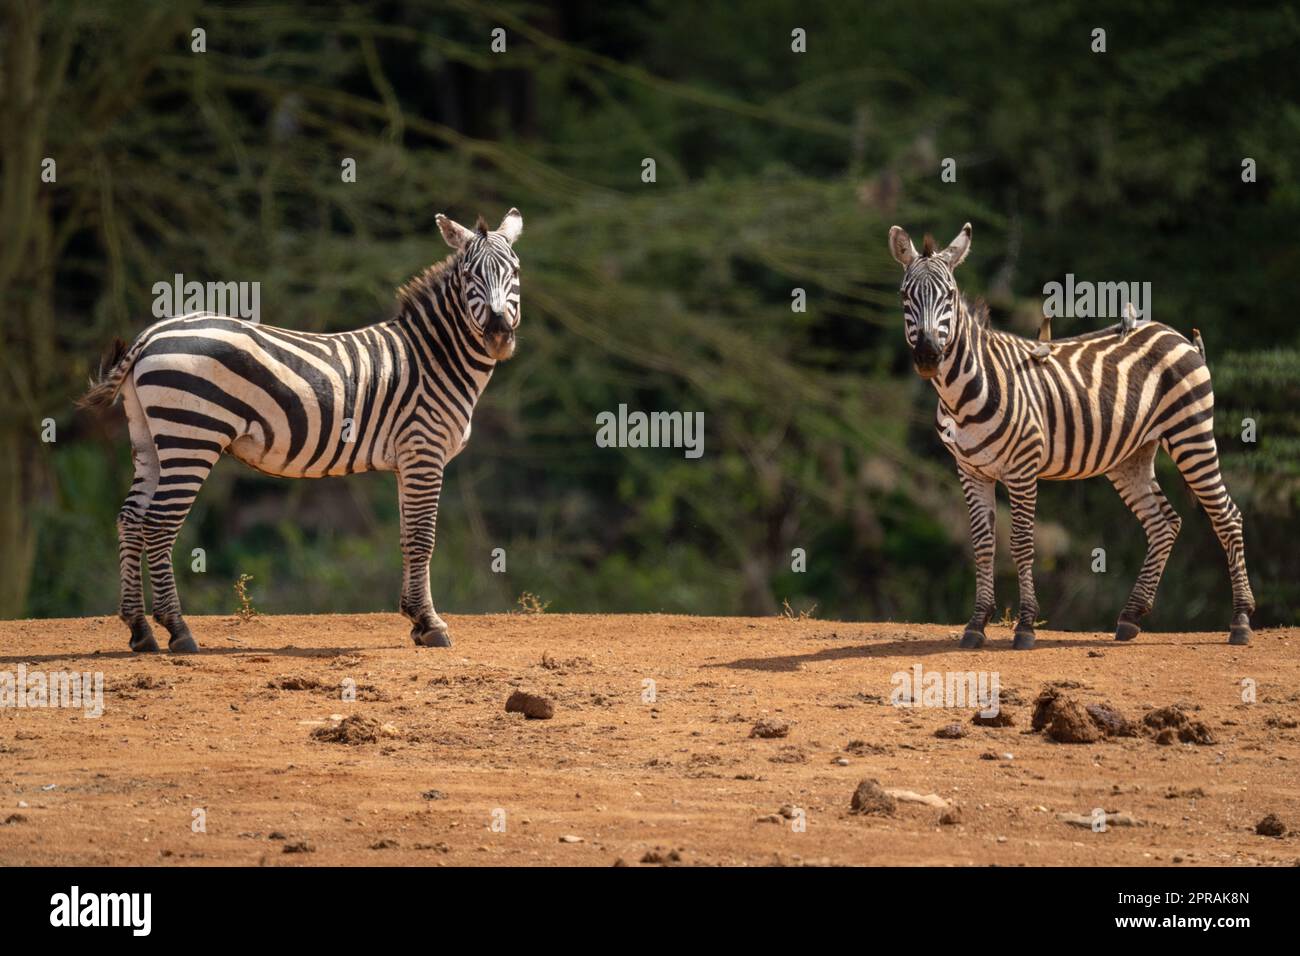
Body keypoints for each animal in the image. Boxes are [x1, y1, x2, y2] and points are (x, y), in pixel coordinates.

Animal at [77, 208, 524, 653]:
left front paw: (415, 618)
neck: (433, 357)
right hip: (191, 438)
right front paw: (430, 625)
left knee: (130, 519)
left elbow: (405, 536)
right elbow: (421, 537)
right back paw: (178, 630)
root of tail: (150, 336)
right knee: (158, 524)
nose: (499, 334)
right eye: (469, 276)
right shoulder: (423, 450)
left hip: (150, 440)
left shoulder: (406, 462)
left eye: (515, 271)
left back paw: (140, 630)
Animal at [887, 222, 1254, 650]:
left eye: (948, 295)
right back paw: (1130, 617)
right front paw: (976, 624)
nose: (928, 355)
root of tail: (1176, 334)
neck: (965, 391)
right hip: (1131, 456)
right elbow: (982, 544)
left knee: (1226, 515)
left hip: (1190, 433)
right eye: (904, 296)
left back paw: (1241, 620)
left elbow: (1022, 543)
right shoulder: (971, 471)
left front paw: (1026, 625)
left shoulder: (1023, 469)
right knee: (1165, 522)